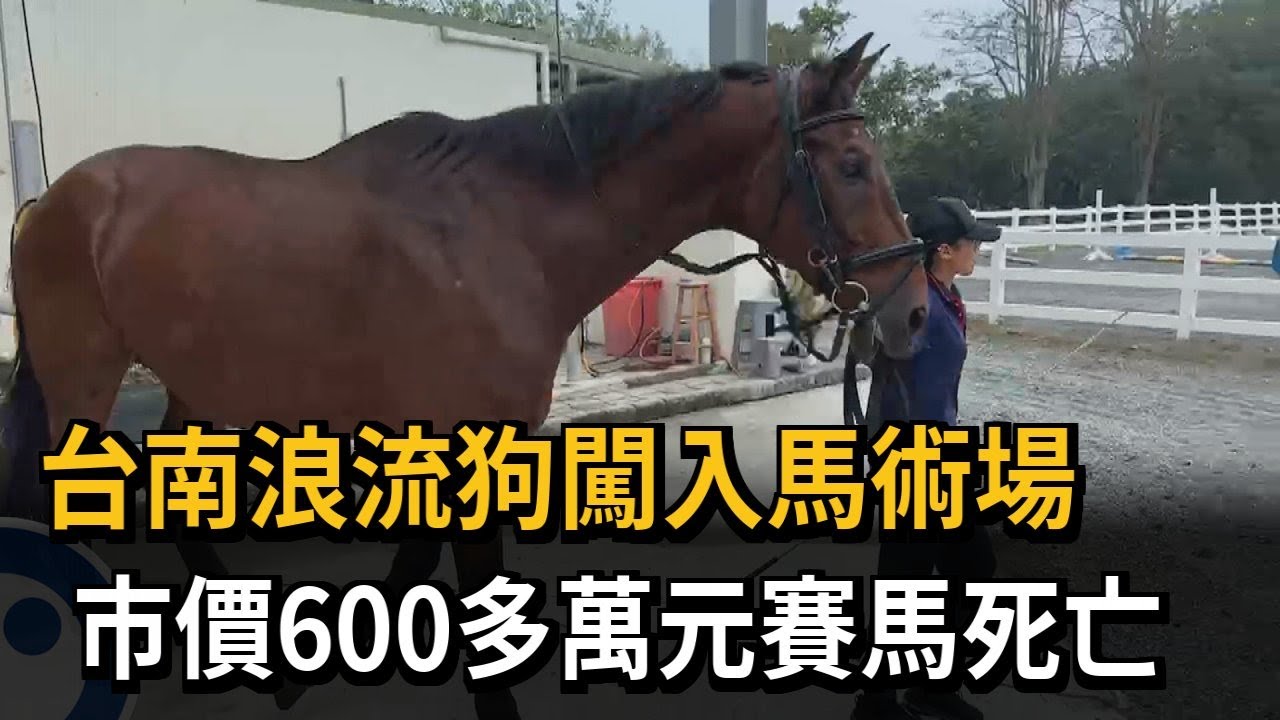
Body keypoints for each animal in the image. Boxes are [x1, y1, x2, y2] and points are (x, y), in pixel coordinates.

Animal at [0, 31, 929, 718]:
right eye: (851, 164)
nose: (915, 310)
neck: (502, 232)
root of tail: (52, 201)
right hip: (85, 384)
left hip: (199, 381)